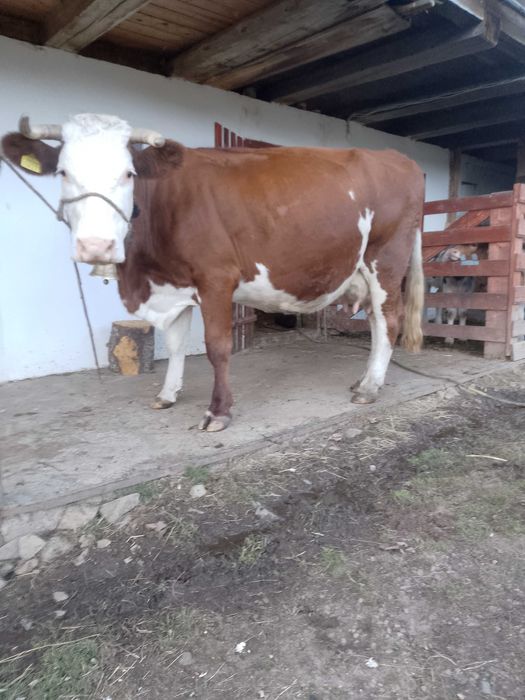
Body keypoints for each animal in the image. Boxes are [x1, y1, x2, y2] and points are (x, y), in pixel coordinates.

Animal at [2, 114, 425, 432]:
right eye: (62, 172)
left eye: (128, 173)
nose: (96, 245)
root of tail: (399, 158)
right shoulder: (174, 285)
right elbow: (175, 344)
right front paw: (167, 394)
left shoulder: (216, 279)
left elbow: (217, 347)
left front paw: (218, 411)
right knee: (376, 323)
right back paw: (365, 378)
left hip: (385, 260)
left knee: (388, 320)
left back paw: (370, 387)